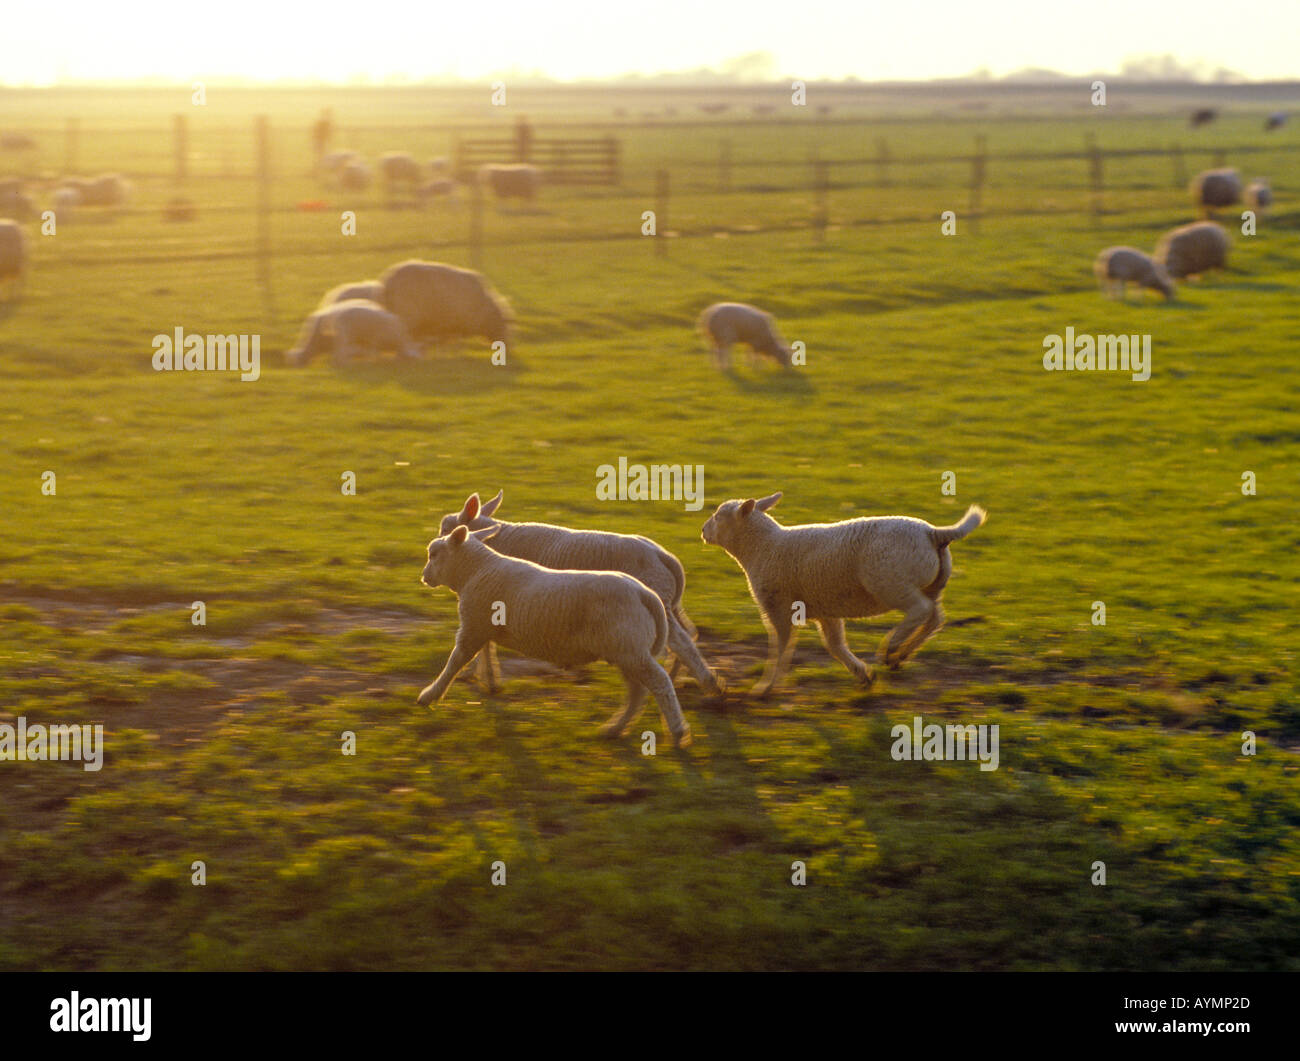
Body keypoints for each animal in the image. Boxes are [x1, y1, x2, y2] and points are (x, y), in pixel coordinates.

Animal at [380, 259, 512, 354]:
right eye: (505, 327)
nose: (508, 349)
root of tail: (390, 281)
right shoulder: (457, 321)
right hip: (408, 314)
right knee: (403, 335)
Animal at [417, 523, 693, 748]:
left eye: (434, 554)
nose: (424, 576)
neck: (477, 570)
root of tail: (644, 593)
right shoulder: (481, 627)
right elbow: (481, 654)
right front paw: (490, 681)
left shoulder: (473, 627)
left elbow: (455, 662)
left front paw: (430, 695)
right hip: (627, 650)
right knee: (637, 691)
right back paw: (615, 729)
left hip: (629, 649)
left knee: (659, 683)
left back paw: (678, 732)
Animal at [438, 491, 723, 697]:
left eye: (445, 530)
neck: (493, 540)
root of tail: (663, 555)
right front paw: (478, 674)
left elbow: (485, 643)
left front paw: (485, 678)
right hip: (669, 603)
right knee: (688, 633)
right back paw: (681, 678)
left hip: (657, 600)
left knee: (682, 641)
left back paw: (710, 684)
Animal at [701, 493, 986, 697]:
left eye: (718, 517)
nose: (703, 530)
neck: (763, 546)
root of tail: (933, 533)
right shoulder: (825, 608)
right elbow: (835, 645)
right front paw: (863, 674)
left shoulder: (778, 607)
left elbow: (780, 647)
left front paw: (766, 687)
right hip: (930, 584)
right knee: (935, 617)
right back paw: (901, 655)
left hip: (891, 582)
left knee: (921, 610)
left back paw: (891, 648)